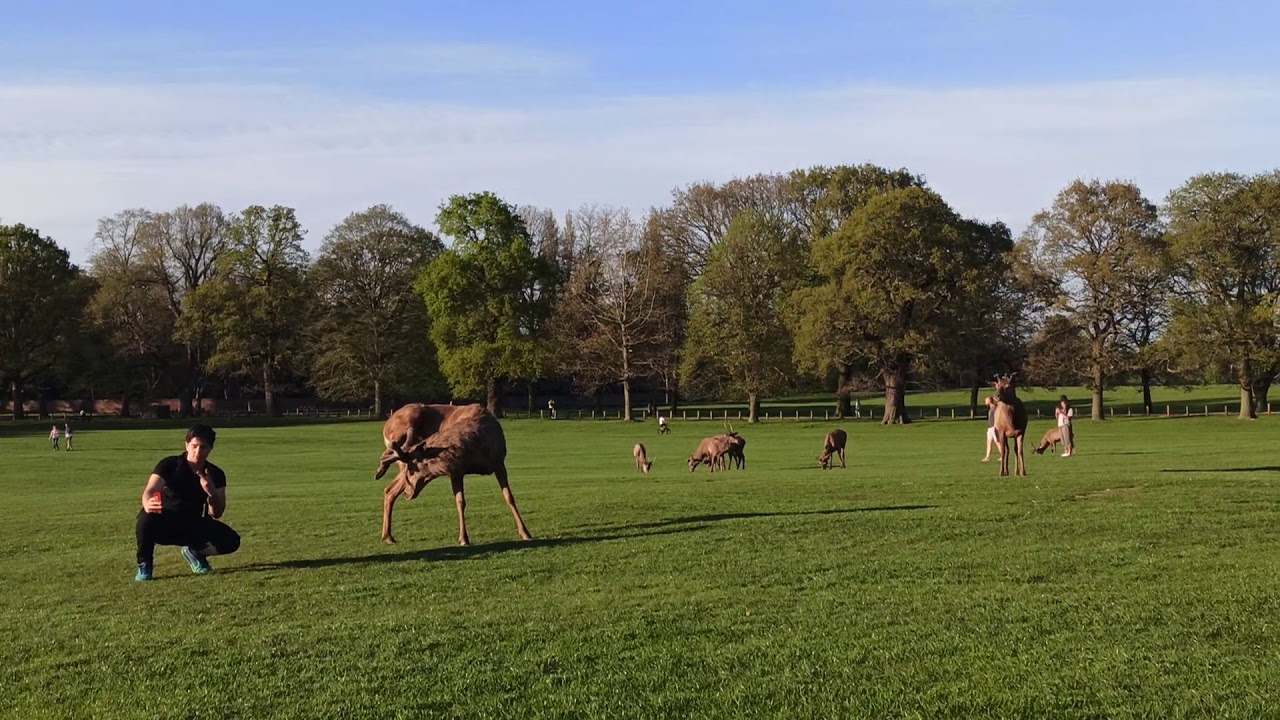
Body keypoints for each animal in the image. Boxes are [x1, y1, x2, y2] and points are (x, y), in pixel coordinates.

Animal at [373, 403, 532, 546]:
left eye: (412, 469)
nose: (407, 493)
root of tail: (387, 425)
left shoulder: (498, 463)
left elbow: (509, 497)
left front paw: (525, 533)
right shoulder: (456, 471)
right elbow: (460, 502)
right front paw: (463, 538)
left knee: (389, 490)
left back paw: (388, 536)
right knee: (390, 487)